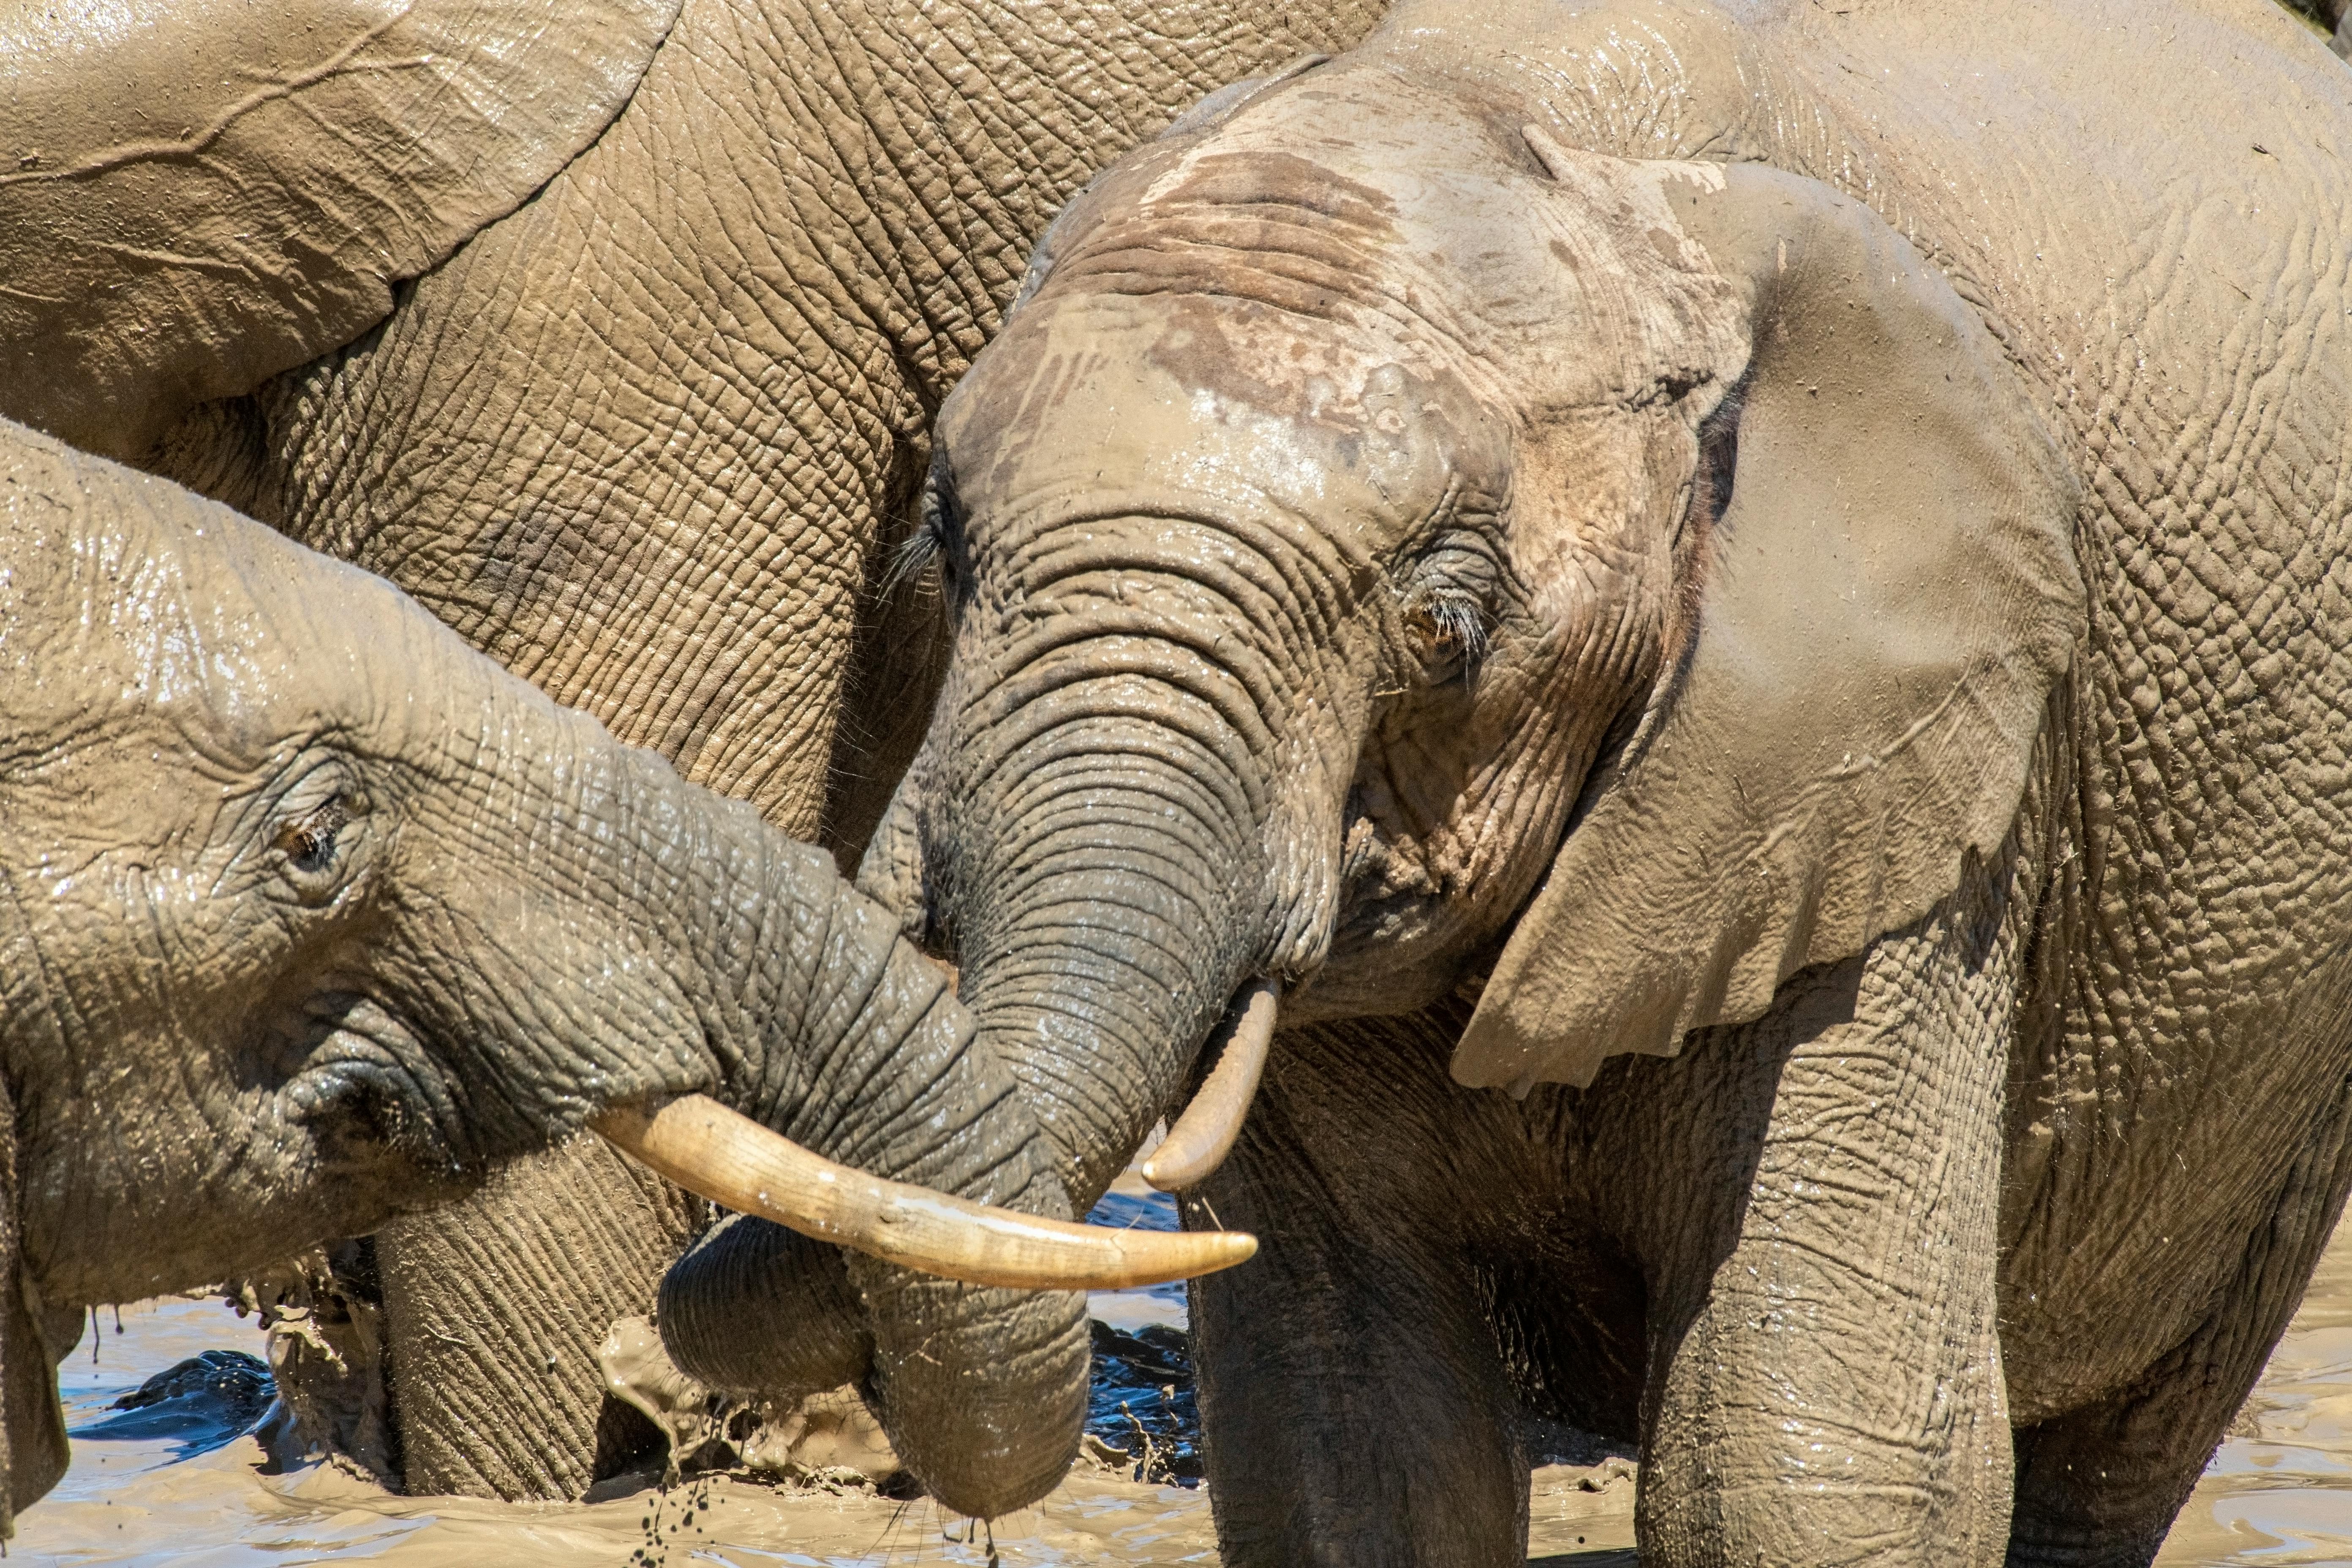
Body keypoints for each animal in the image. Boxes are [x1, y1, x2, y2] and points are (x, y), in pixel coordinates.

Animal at [759, 0, 2351, 1561]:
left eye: (1440, 630)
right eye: (942, 549)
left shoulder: (1916, 787)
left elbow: (1792, 1462)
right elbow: (1353, 1442)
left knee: (2114, 1451)